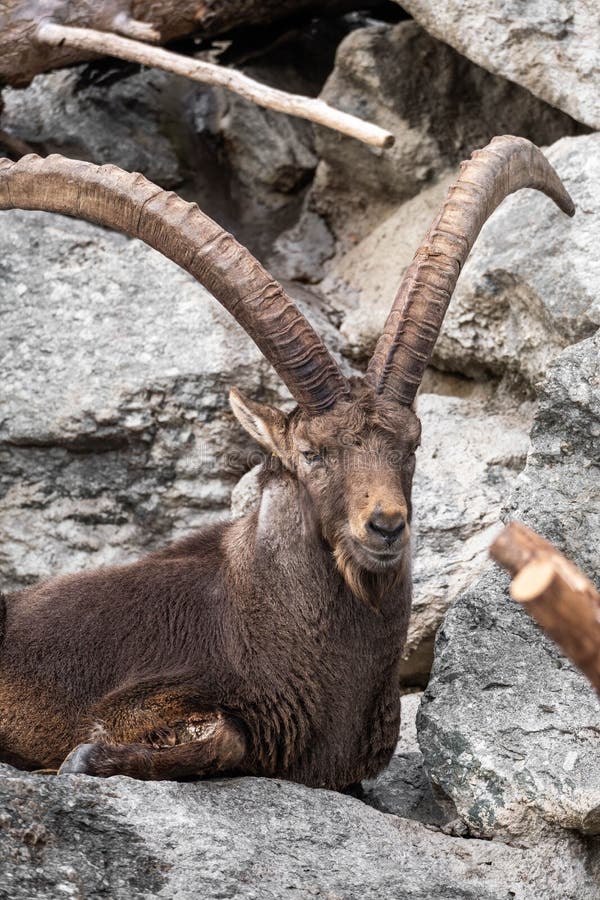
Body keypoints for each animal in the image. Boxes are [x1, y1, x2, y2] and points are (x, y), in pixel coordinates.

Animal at [0, 138, 574, 785]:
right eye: (311, 452)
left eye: (413, 444)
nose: (385, 525)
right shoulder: (148, 695)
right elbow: (222, 737)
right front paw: (85, 757)